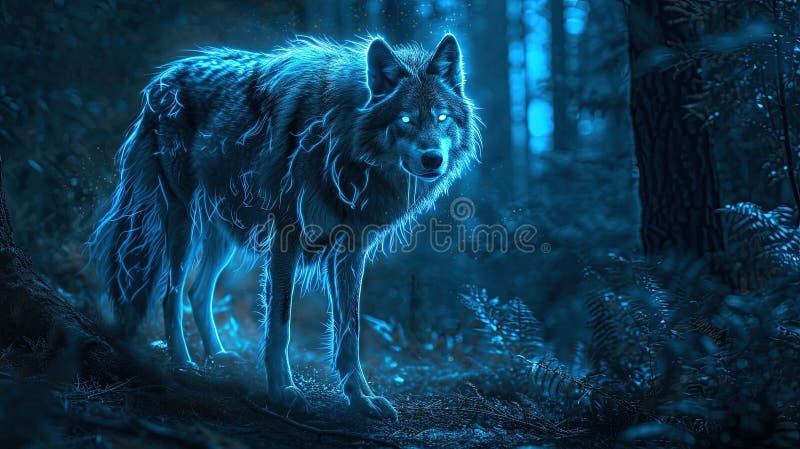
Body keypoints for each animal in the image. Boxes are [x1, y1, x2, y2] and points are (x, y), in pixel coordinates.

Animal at [89, 33, 480, 418]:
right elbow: (280, 326)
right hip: (184, 223)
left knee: (197, 292)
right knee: (172, 294)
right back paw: (184, 364)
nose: (433, 159)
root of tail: (161, 80)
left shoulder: (350, 253)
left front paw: (360, 399)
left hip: (222, 234)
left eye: (442, 117)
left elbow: (349, 334)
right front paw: (282, 391)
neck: (342, 145)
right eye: (406, 119)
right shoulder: (285, 243)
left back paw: (219, 357)